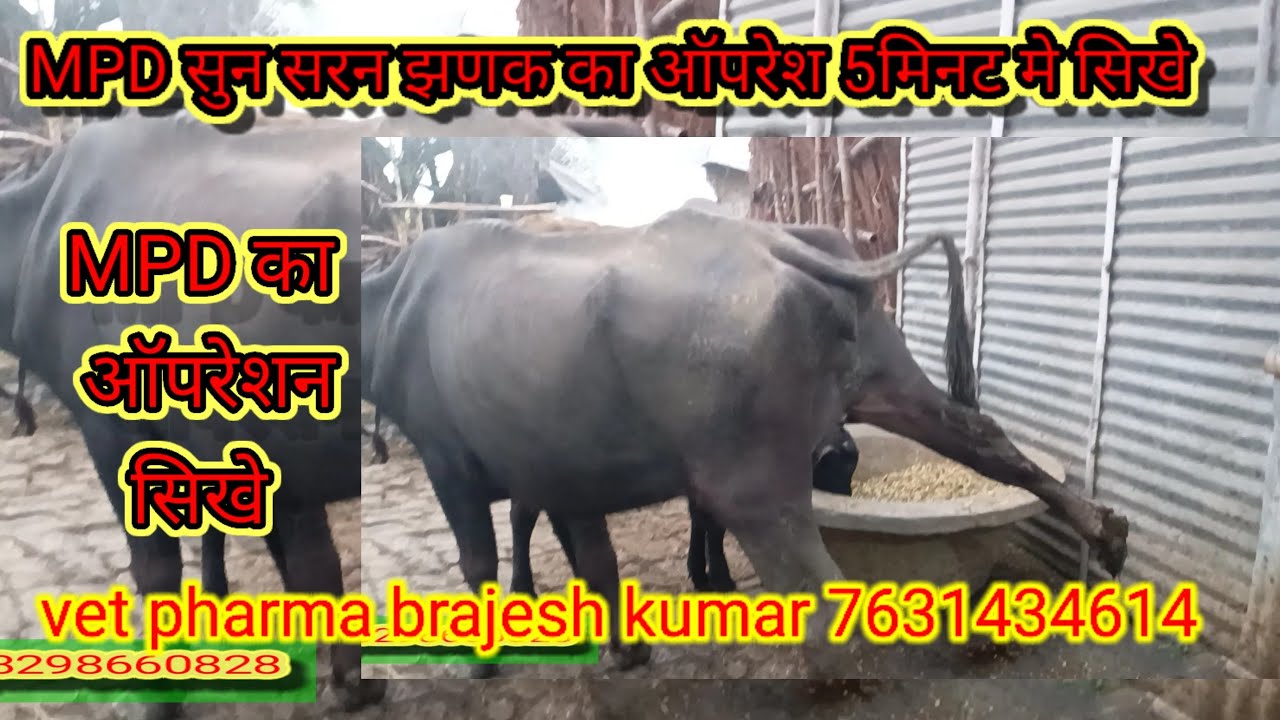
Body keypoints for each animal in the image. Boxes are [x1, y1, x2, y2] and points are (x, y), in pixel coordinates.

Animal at [359, 207, 1129, 679]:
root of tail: (773, 241)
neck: (392, 301)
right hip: (887, 379)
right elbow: (596, 562)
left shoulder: (449, 461)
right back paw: (1108, 532)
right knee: (986, 439)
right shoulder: (563, 471)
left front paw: (486, 658)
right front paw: (618, 647)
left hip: (751, 483)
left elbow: (479, 558)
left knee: (820, 596)